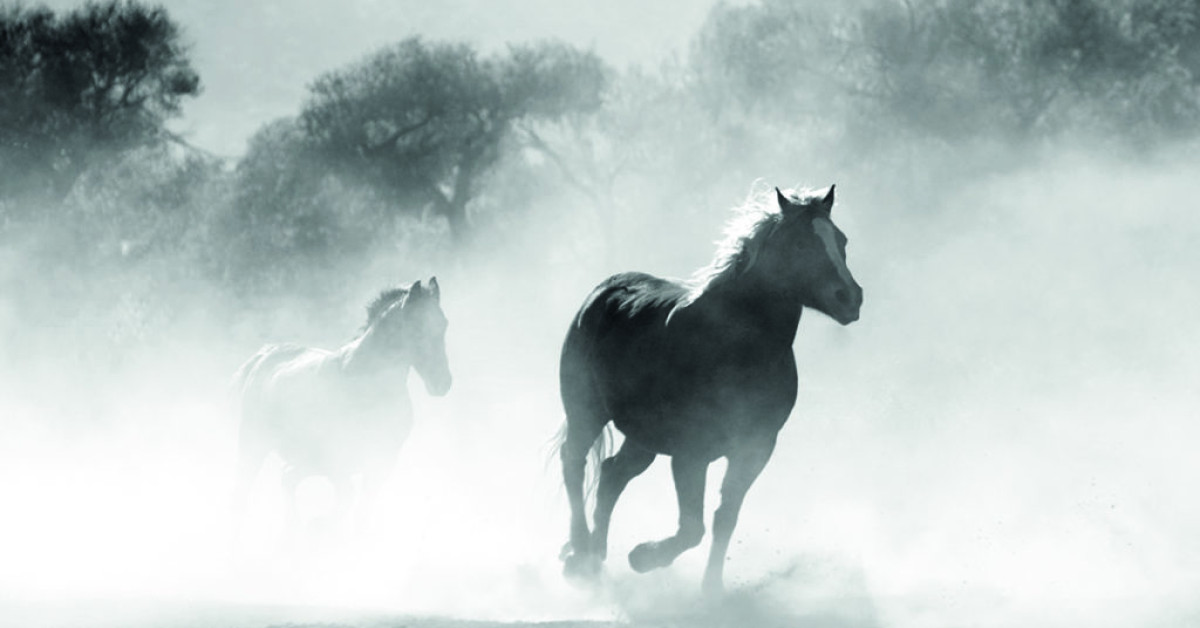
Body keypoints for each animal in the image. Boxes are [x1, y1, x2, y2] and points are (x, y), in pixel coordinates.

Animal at [231, 277, 451, 544]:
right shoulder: (337, 460)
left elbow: (361, 512)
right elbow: (346, 498)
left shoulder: (380, 463)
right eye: (416, 327)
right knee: (246, 489)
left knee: (288, 479)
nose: (442, 383)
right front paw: (318, 526)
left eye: (444, 324)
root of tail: (263, 356)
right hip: (254, 444)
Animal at [557, 184, 862, 595]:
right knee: (574, 462)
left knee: (611, 476)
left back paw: (595, 556)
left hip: (643, 437)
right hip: (586, 412)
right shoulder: (691, 453)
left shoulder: (755, 449)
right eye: (800, 243)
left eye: (841, 240)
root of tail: (603, 292)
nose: (850, 297)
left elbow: (724, 518)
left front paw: (711, 590)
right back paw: (579, 554)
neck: (737, 347)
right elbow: (692, 528)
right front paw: (643, 557)